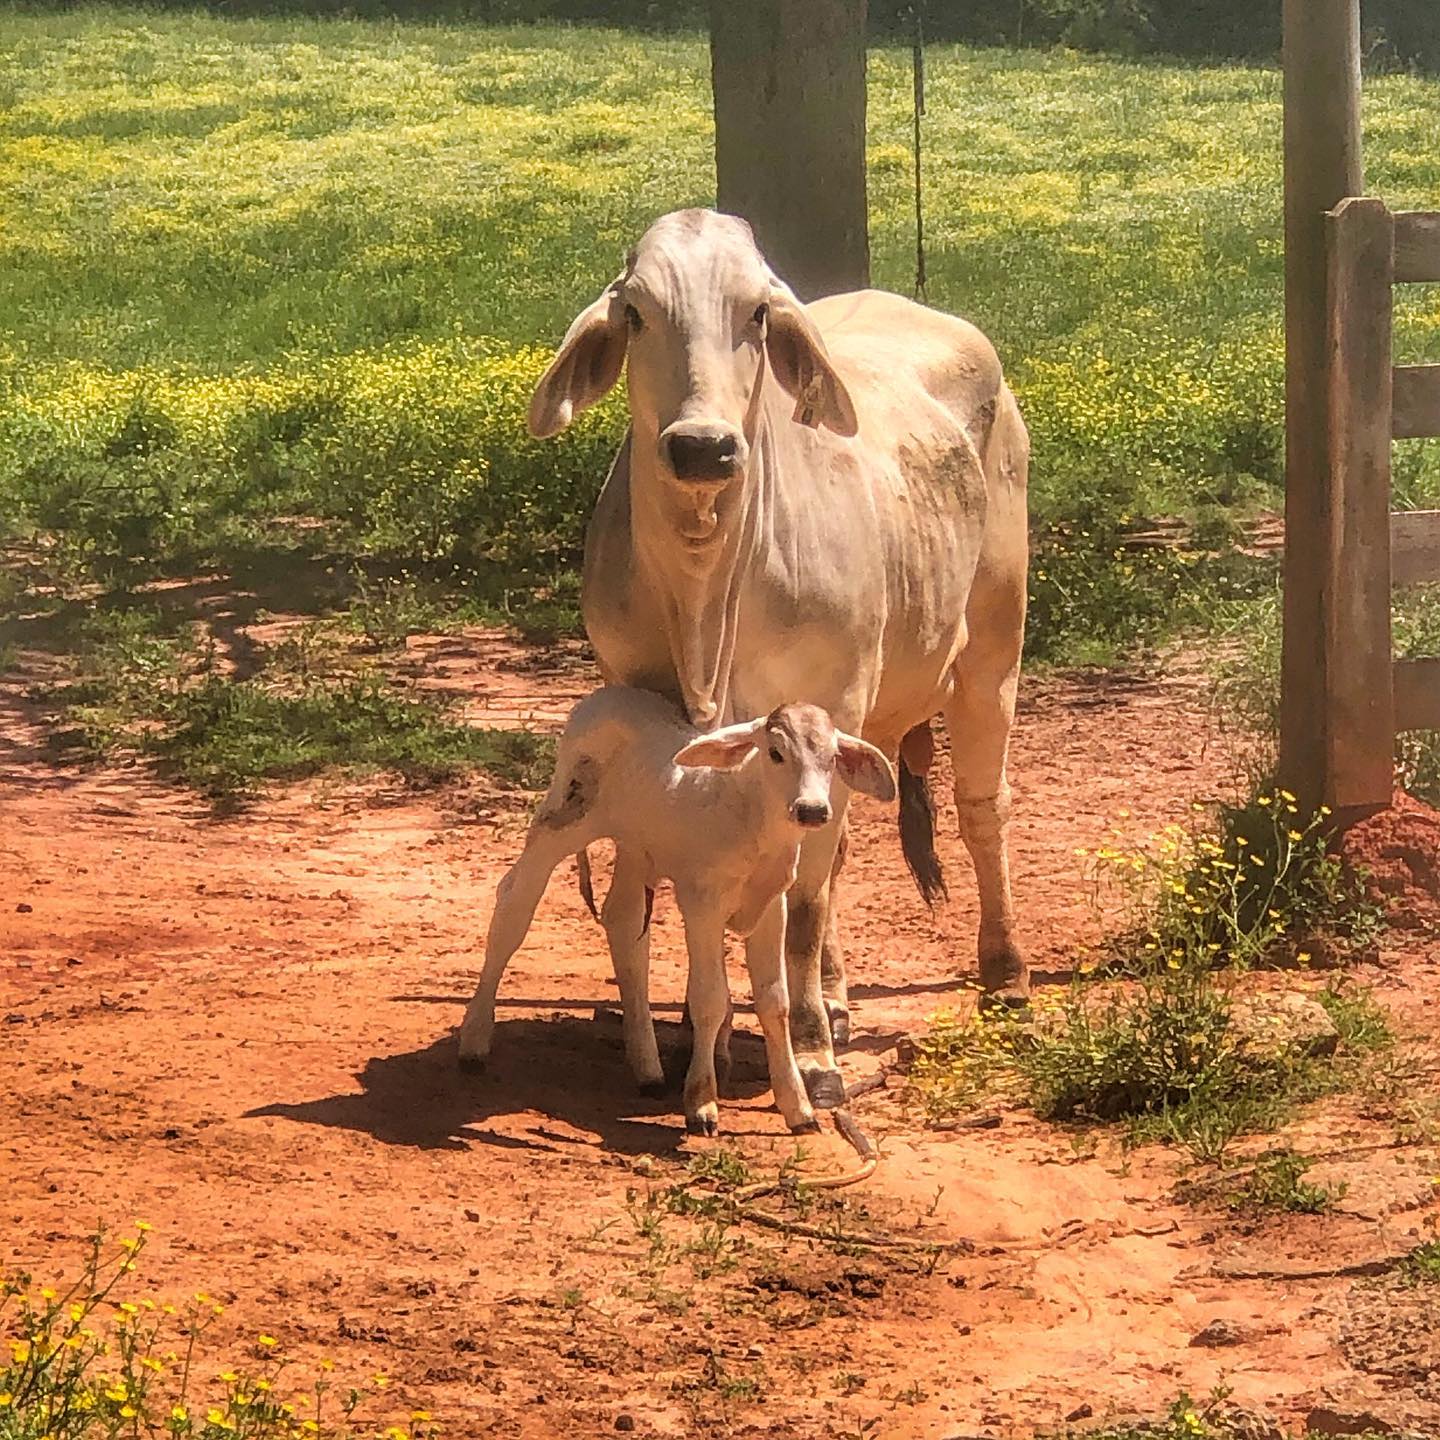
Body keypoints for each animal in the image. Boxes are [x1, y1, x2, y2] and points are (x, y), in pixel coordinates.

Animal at [522, 208, 1029, 1107]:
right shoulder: (643, 703)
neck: (707, 595)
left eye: (757, 313)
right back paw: (833, 993)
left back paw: (1001, 971)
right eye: (636, 312)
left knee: (979, 806)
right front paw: (710, 1042)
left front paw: (814, 1057)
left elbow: (803, 901)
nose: (702, 448)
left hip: (993, 646)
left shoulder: (834, 702)